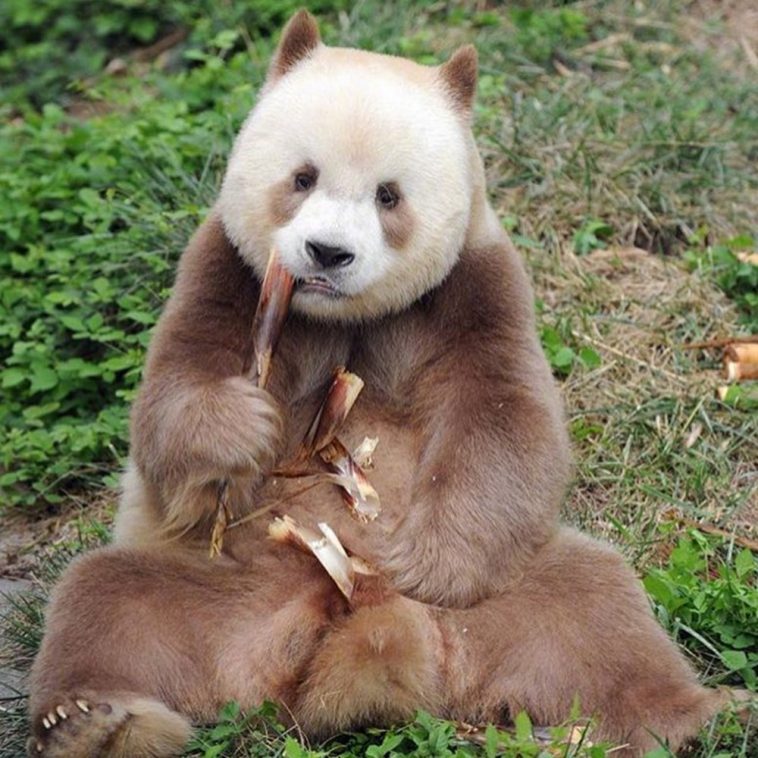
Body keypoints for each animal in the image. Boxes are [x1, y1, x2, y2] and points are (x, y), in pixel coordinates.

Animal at [28, 10, 731, 757]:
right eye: (303, 177)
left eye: (388, 196)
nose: (327, 253)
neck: (345, 314)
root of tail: (366, 640)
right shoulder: (229, 271)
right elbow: (171, 397)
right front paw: (240, 429)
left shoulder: (473, 287)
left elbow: (505, 419)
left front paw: (428, 561)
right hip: (218, 592)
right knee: (107, 603)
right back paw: (92, 721)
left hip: (502, 601)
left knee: (597, 606)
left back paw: (692, 715)